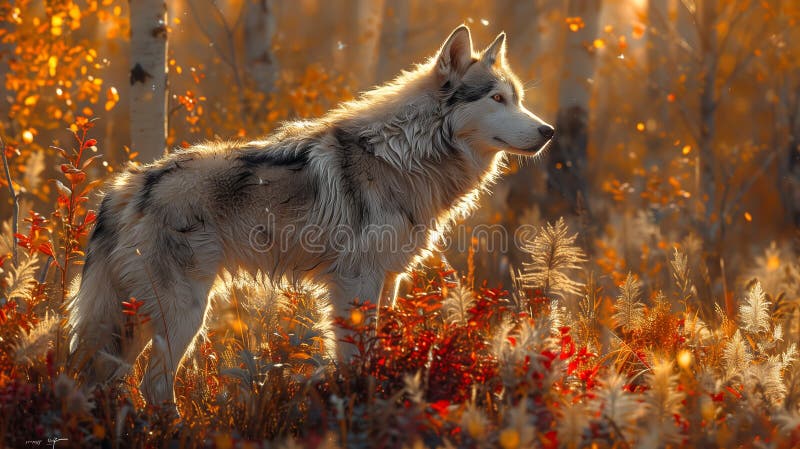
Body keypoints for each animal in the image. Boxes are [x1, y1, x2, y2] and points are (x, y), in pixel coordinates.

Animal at [68, 25, 554, 407]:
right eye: (497, 98)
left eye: (518, 100)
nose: (548, 131)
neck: (407, 155)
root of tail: (125, 188)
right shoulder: (355, 282)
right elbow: (356, 355)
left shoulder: (388, 280)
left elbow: (379, 346)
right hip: (182, 314)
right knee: (152, 386)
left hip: (134, 323)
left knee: (107, 381)